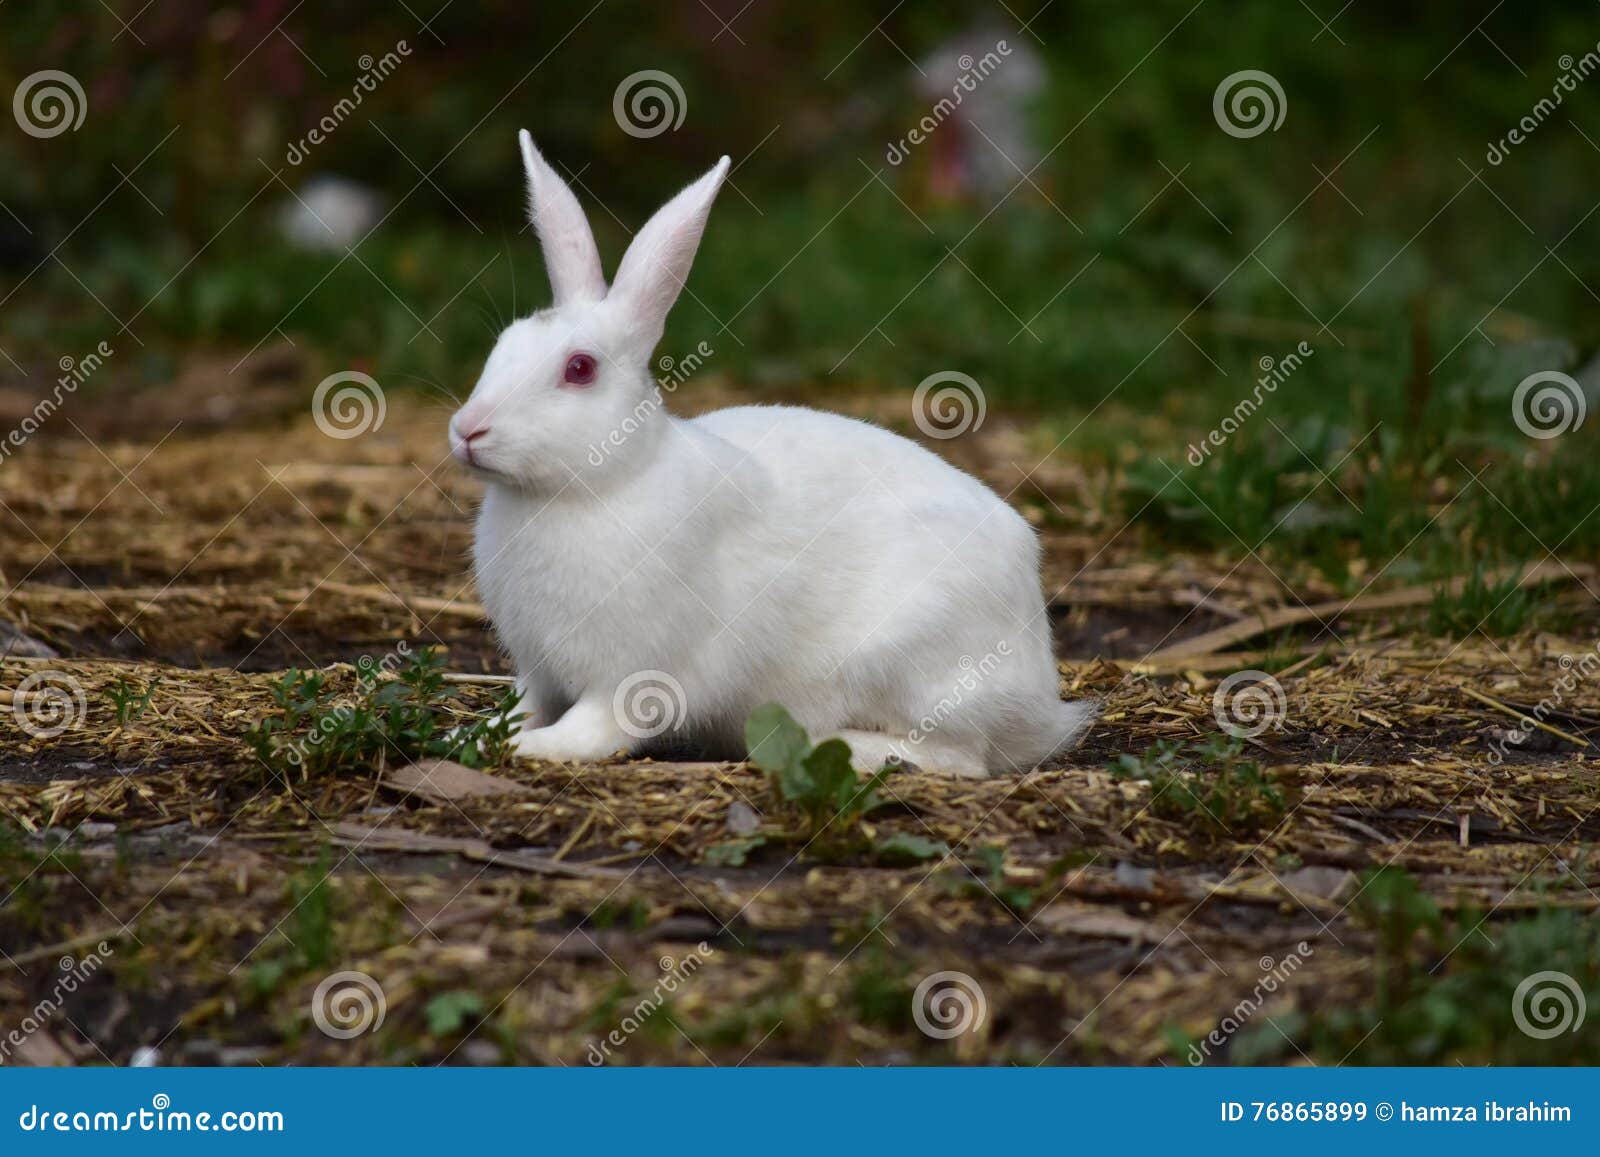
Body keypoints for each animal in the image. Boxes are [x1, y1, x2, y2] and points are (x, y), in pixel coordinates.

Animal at [447, 131, 1097, 779]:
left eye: (579, 369)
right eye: (503, 343)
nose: (468, 430)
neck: (599, 483)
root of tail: (1041, 700)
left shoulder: (630, 673)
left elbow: (595, 725)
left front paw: (534, 748)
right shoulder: (538, 669)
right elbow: (524, 705)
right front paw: (474, 736)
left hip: (912, 659)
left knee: (957, 756)